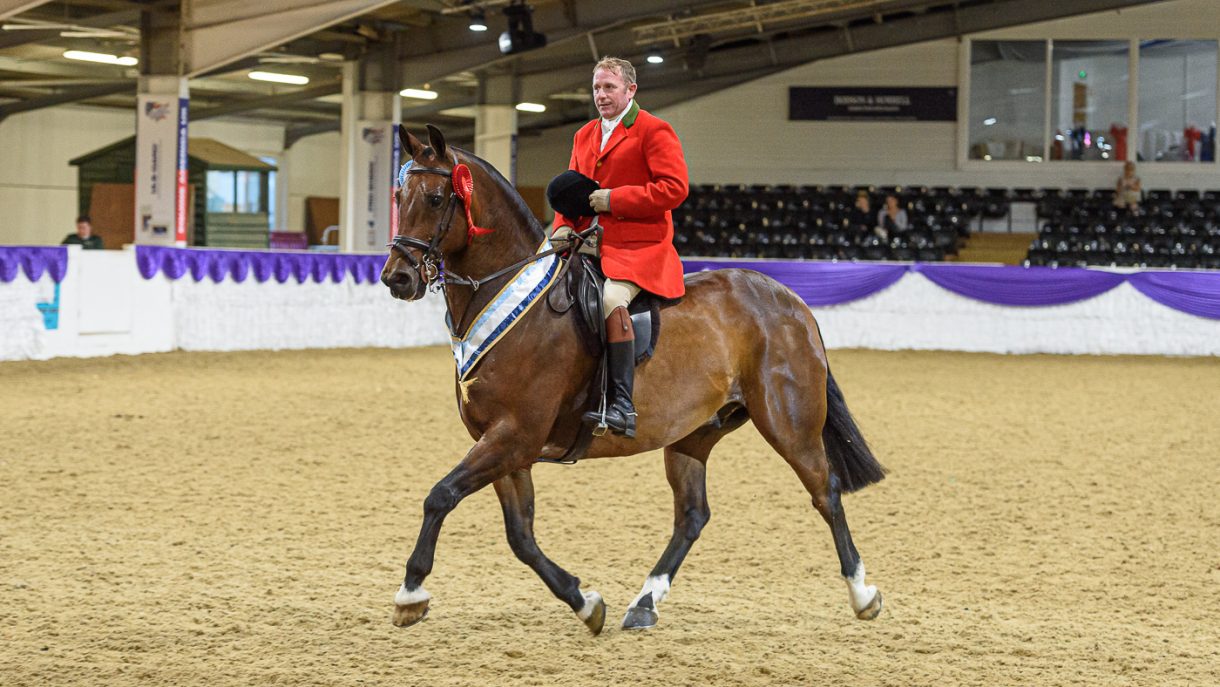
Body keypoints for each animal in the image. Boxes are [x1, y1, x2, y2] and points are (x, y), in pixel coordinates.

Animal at [380, 124, 886, 634]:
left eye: (437, 199)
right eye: (399, 196)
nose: (396, 278)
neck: (514, 302)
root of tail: (790, 299)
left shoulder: (514, 436)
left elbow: (440, 496)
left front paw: (411, 593)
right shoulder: (502, 443)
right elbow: (520, 536)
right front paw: (584, 601)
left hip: (788, 422)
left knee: (826, 491)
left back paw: (863, 594)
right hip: (694, 432)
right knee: (692, 516)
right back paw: (644, 602)